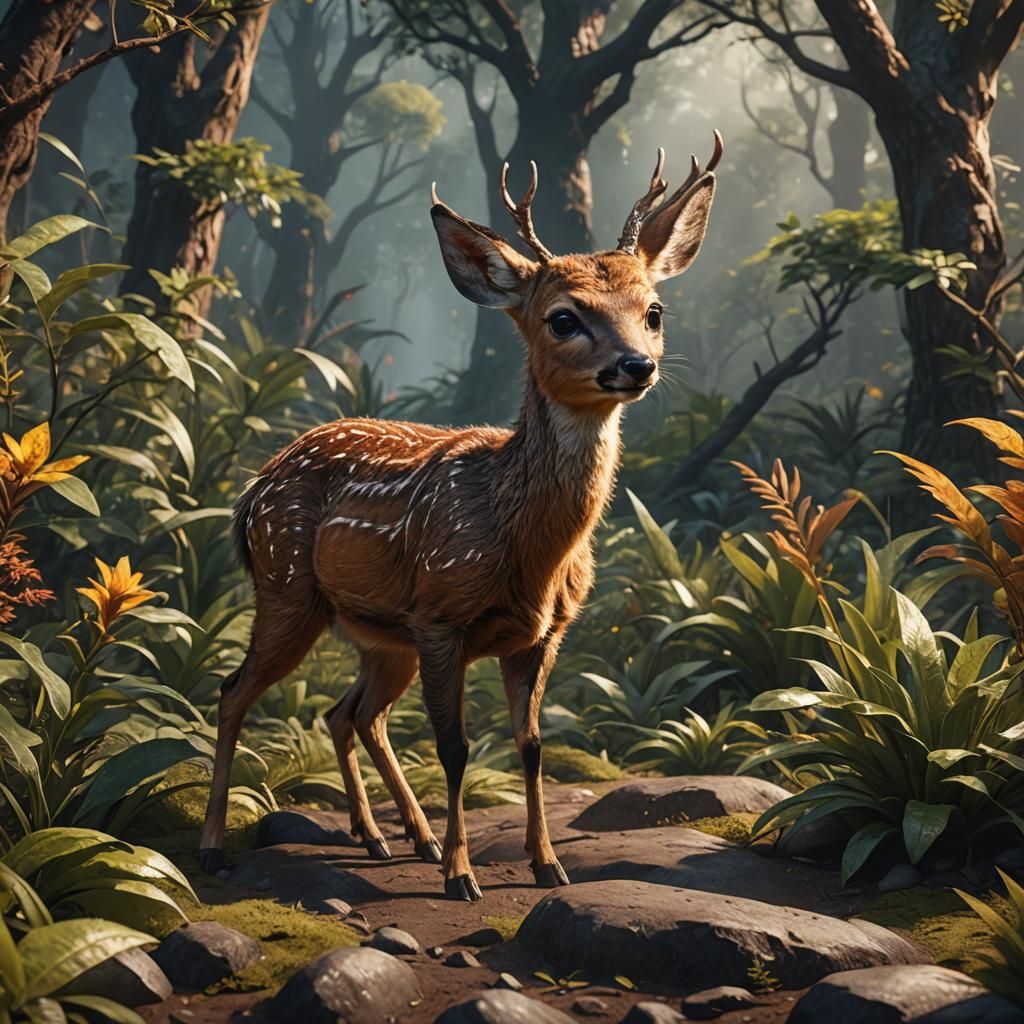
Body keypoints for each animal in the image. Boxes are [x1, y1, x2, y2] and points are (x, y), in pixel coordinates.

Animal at [198, 133, 722, 901]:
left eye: (654, 310)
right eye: (563, 317)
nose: (636, 365)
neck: (528, 550)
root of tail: (253, 487)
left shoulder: (543, 634)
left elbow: (531, 747)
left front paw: (546, 863)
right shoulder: (442, 617)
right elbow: (456, 748)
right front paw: (462, 875)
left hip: (378, 632)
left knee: (349, 712)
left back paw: (389, 838)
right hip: (288, 585)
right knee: (235, 693)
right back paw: (215, 847)